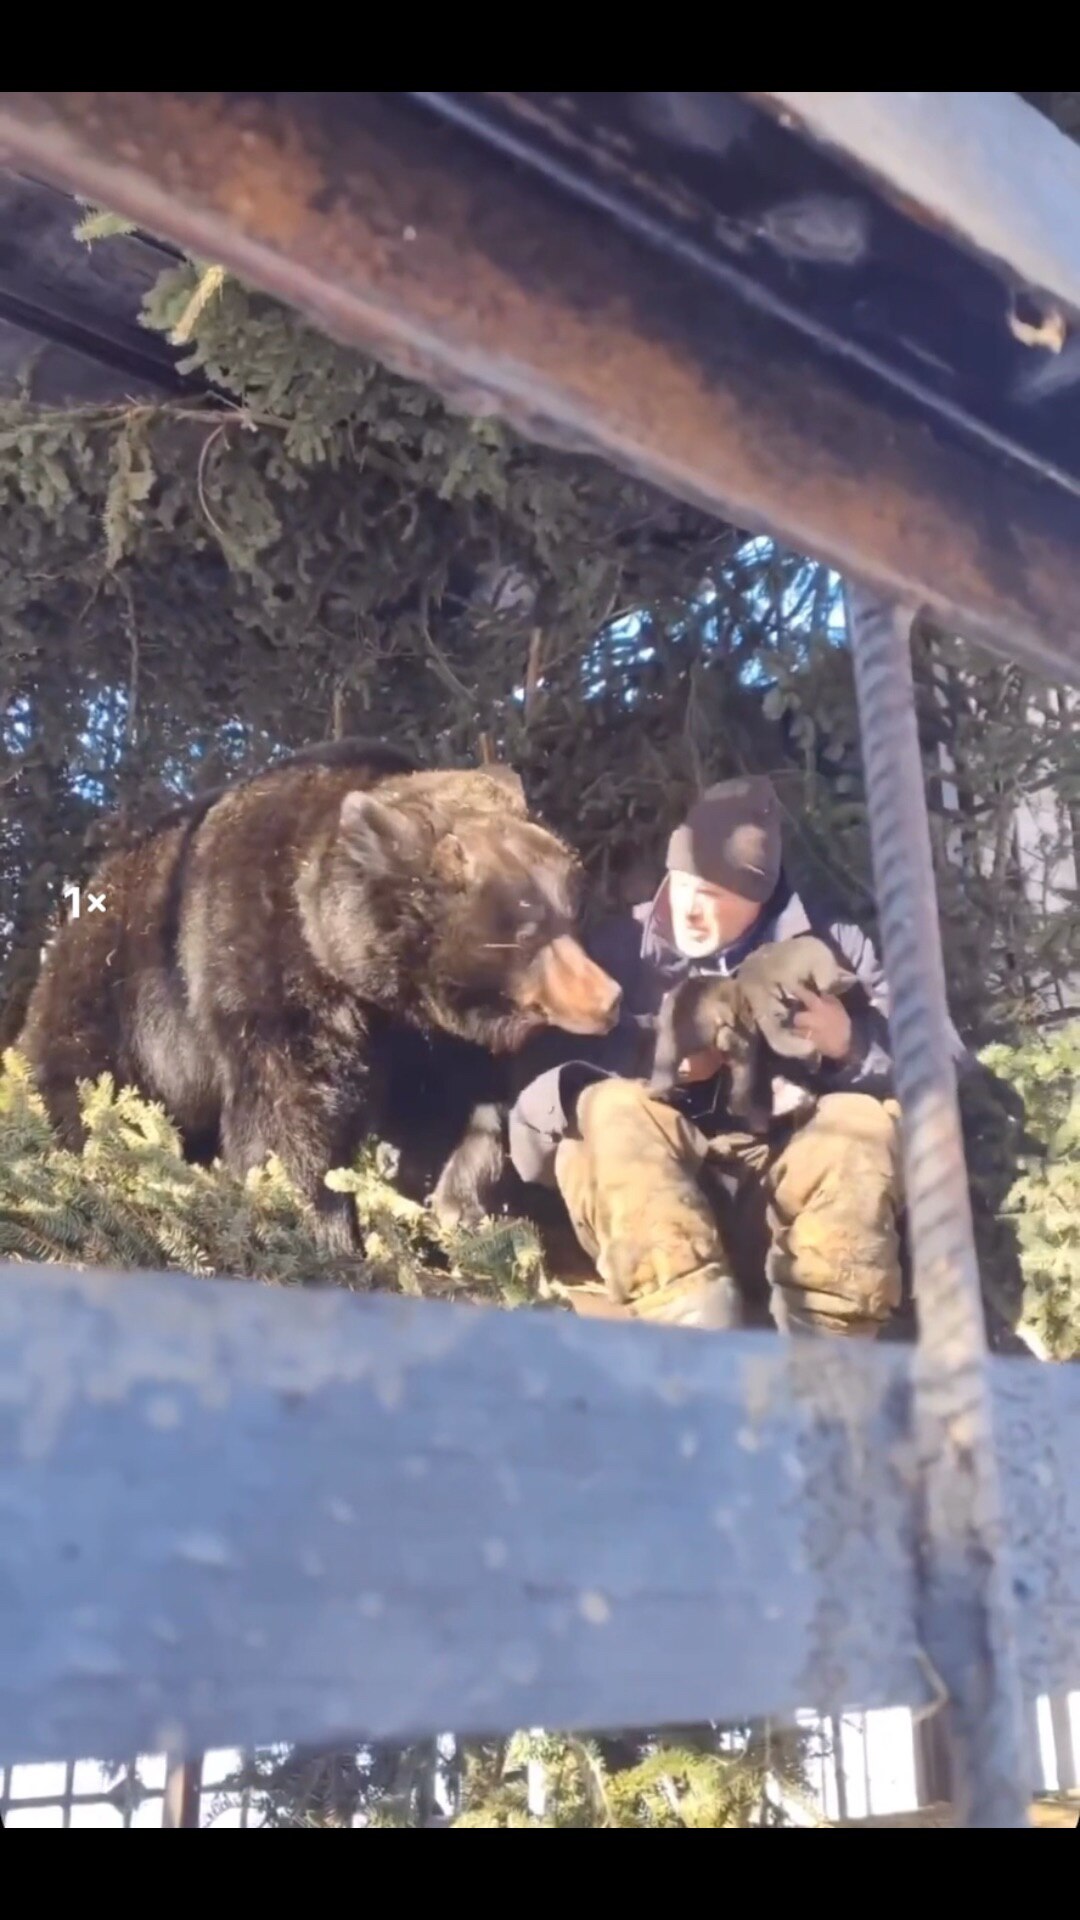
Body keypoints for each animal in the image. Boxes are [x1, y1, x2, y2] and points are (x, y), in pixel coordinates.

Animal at [18, 740, 622, 1255]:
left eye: (574, 913)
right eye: (528, 932)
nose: (608, 998)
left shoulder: (428, 1037)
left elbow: (458, 1111)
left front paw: (459, 1210)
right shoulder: (264, 961)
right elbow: (290, 1105)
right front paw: (319, 1225)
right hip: (113, 995)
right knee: (79, 1082)